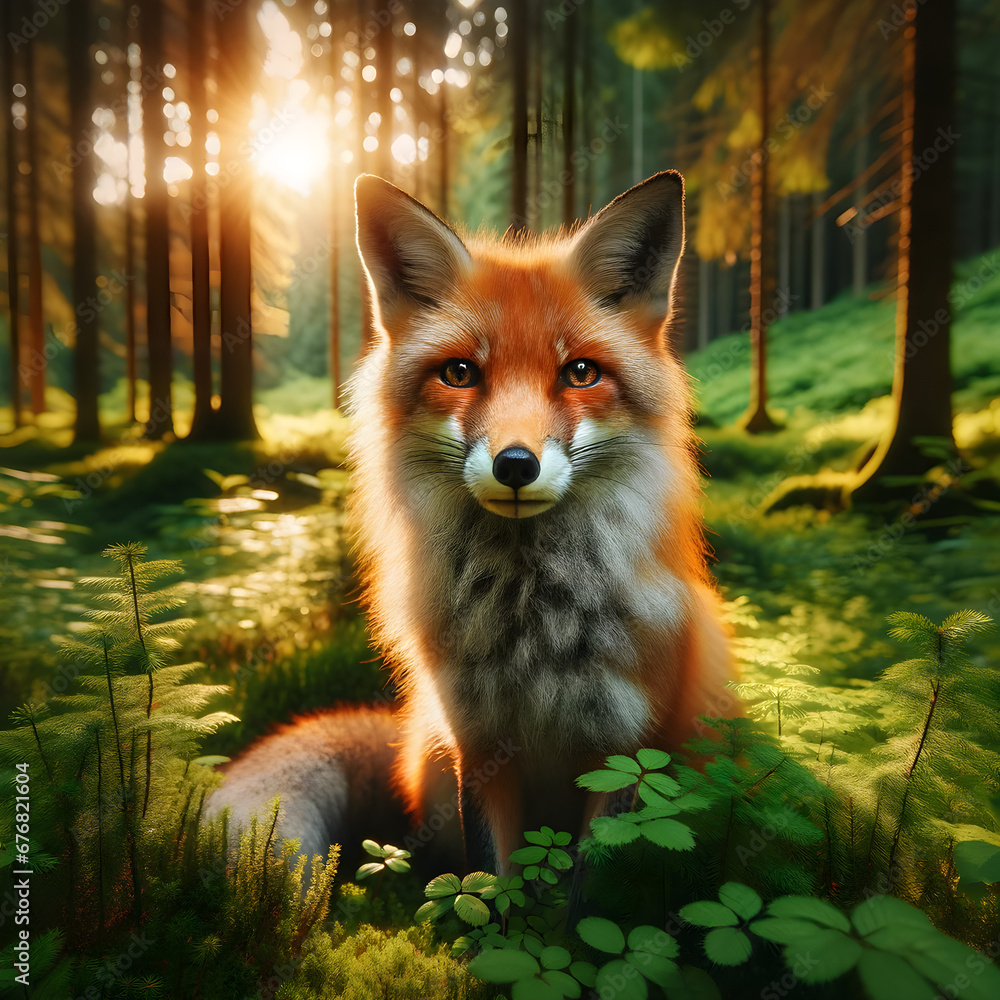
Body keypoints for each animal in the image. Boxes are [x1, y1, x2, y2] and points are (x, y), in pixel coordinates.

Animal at [206, 172, 733, 877]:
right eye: (460, 372)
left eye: (581, 372)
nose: (515, 464)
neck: (535, 633)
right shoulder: (477, 746)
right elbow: (489, 881)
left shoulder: (626, 752)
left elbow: (588, 888)